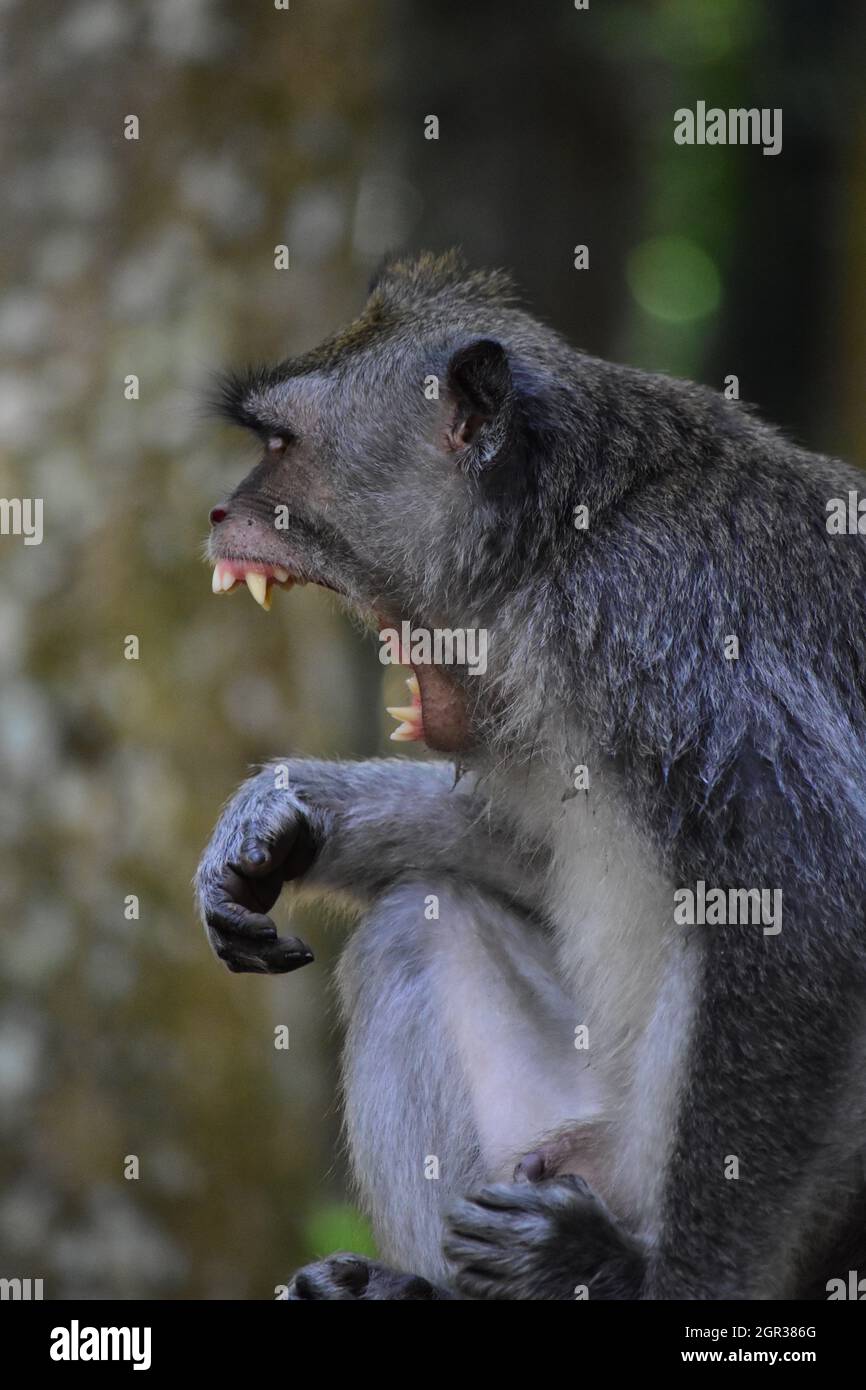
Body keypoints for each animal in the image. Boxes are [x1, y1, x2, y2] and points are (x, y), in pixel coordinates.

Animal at [195, 251, 866, 1300]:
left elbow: (807, 911)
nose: (223, 510)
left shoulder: (660, 621)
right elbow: (527, 856)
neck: (558, 535)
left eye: (280, 441)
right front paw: (279, 819)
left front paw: (676, 1289)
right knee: (415, 926)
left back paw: (591, 1263)